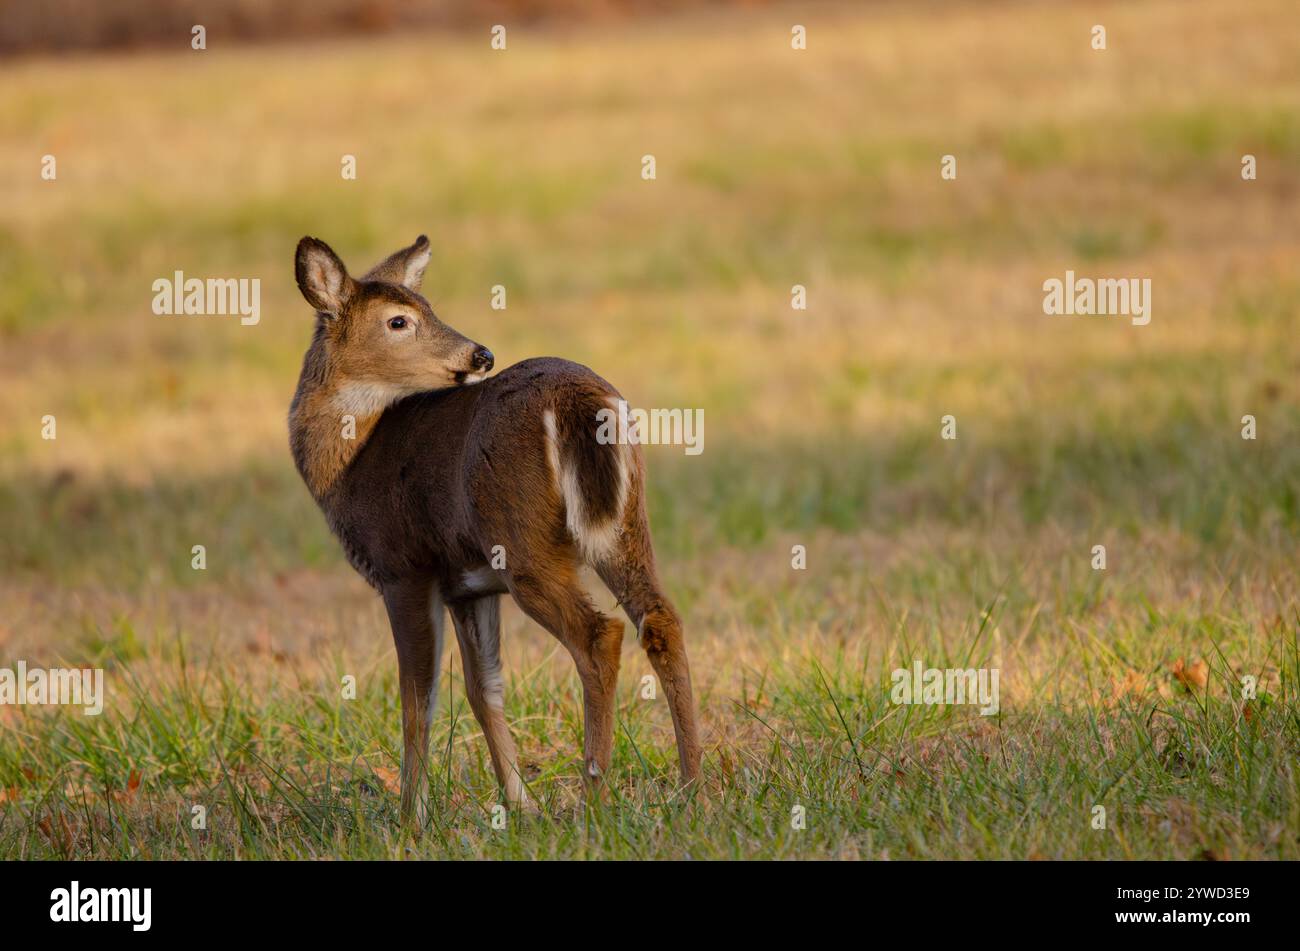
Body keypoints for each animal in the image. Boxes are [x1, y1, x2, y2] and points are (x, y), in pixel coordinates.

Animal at [289, 234, 702, 824]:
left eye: (427, 308)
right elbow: (484, 691)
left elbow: (418, 700)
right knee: (660, 618)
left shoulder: (403, 567)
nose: (479, 354)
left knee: (599, 635)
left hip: (521, 539)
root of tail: (577, 400)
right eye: (399, 320)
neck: (348, 466)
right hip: (624, 523)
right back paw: (694, 785)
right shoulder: (468, 585)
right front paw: (520, 805)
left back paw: (595, 800)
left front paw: (411, 820)